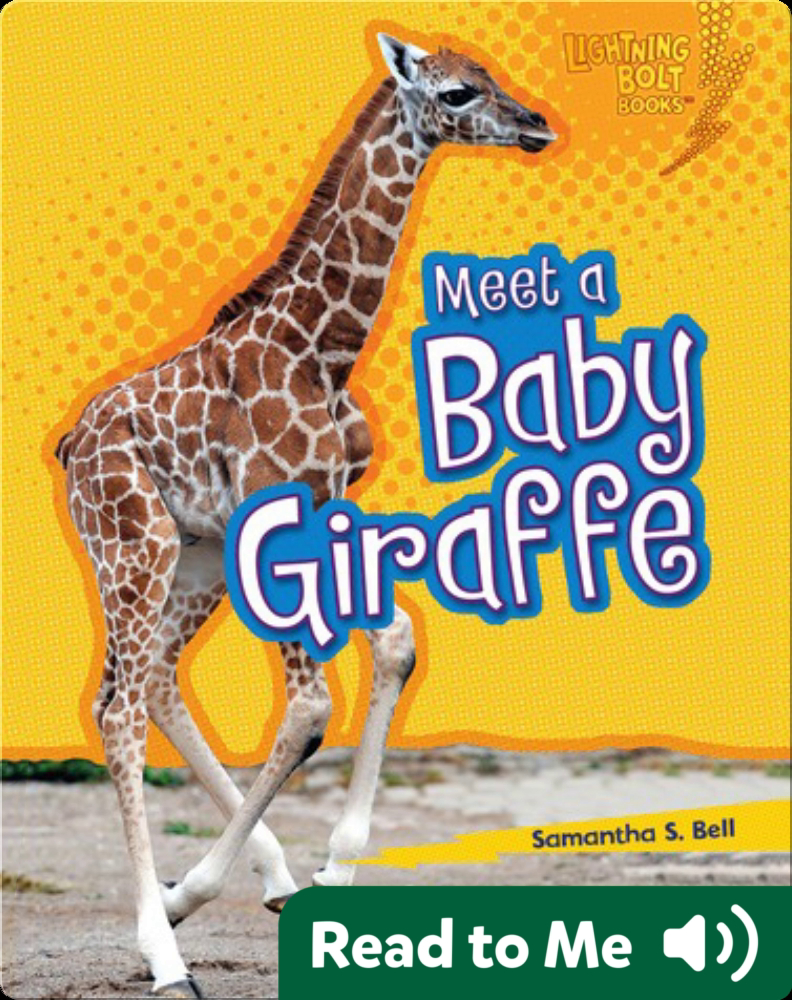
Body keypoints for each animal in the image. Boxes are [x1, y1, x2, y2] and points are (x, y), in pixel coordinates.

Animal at [55, 34, 556, 998]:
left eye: (493, 76)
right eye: (456, 92)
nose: (537, 125)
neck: (323, 345)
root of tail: (69, 445)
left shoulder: (327, 505)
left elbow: (396, 644)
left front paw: (330, 870)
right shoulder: (275, 507)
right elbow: (309, 709)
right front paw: (206, 899)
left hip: (196, 550)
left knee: (159, 680)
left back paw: (254, 885)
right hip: (132, 544)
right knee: (117, 710)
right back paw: (164, 949)